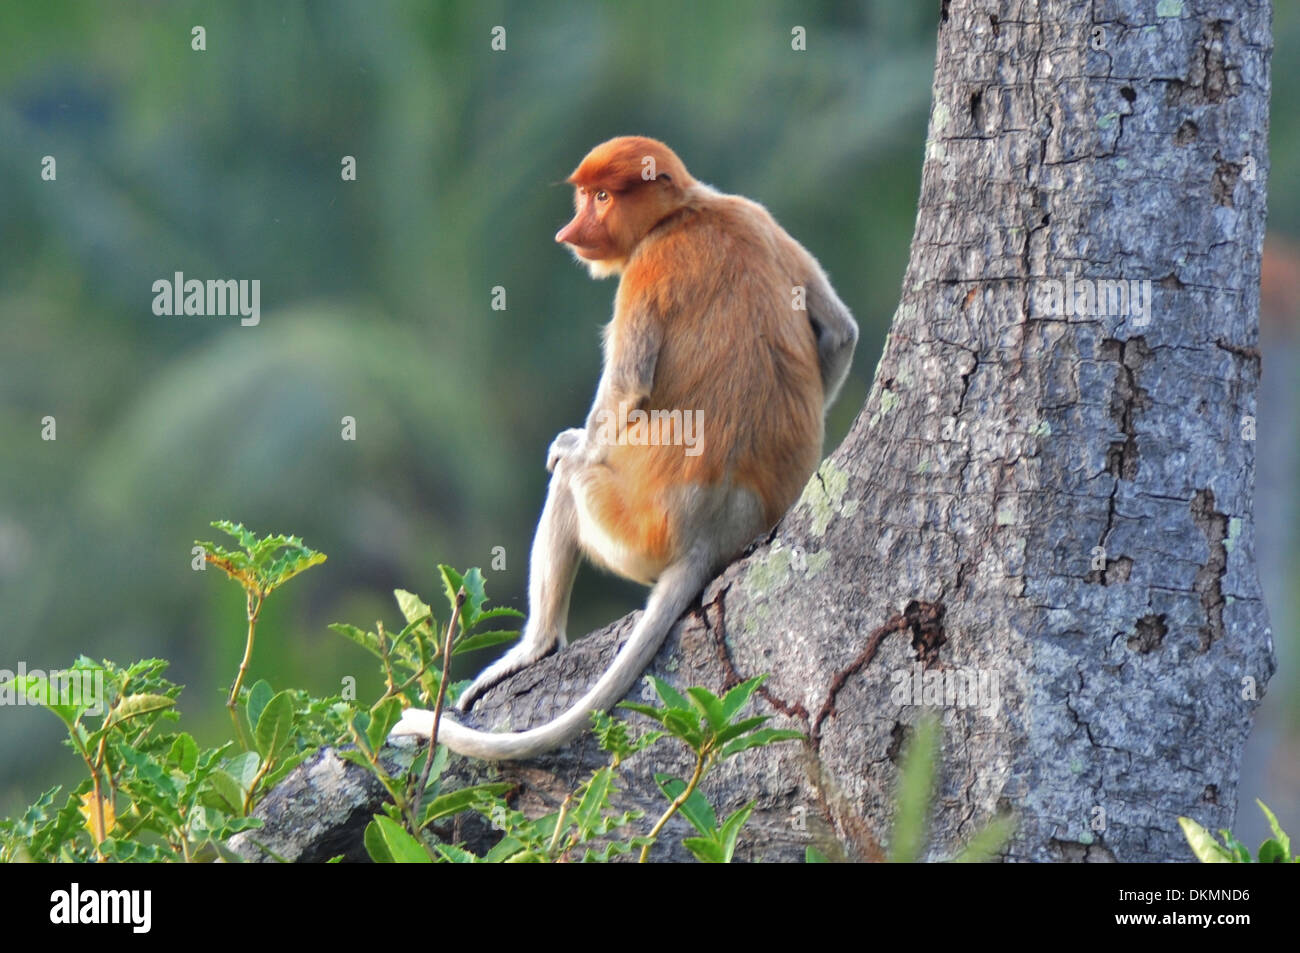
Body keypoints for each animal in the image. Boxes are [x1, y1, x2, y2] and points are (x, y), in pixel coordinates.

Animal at [392, 136, 857, 760]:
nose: (569, 231)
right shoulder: (753, 212)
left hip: (631, 531)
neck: (683, 213)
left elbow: (624, 393)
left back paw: (536, 645)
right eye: (586, 195)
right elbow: (838, 333)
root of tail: (712, 534)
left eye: (603, 197)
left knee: (570, 482)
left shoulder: (645, 269)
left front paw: (570, 441)